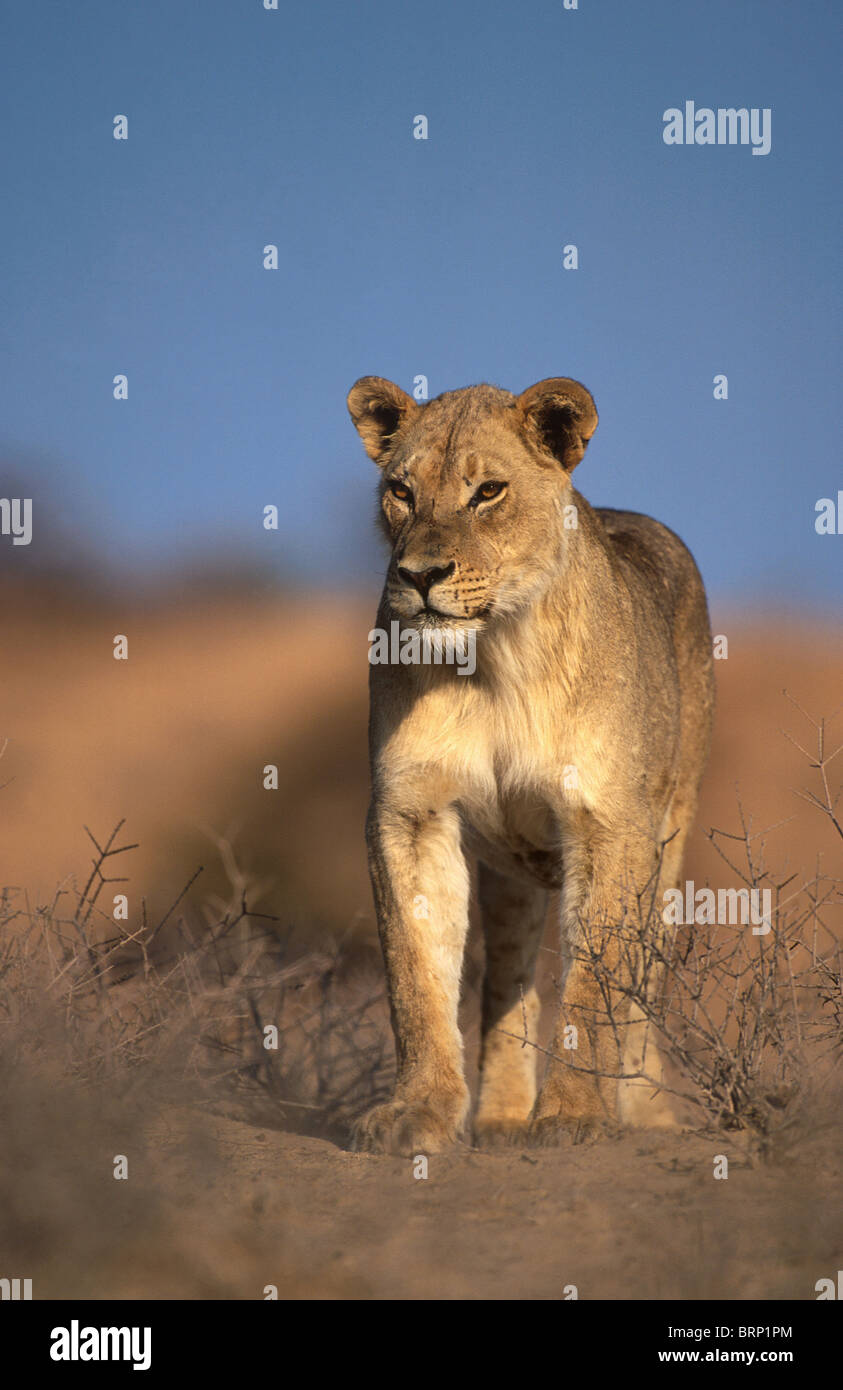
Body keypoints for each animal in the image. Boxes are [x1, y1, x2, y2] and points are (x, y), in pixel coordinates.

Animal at [347, 375, 715, 1154]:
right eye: (401, 491)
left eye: (488, 491)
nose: (420, 575)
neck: (494, 659)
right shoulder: (410, 813)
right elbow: (415, 976)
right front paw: (418, 1110)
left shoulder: (610, 824)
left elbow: (597, 984)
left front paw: (574, 1114)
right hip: (512, 875)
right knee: (506, 981)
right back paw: (501, 1117)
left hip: (670, 833)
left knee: (643, 984)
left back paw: (642, 1112)